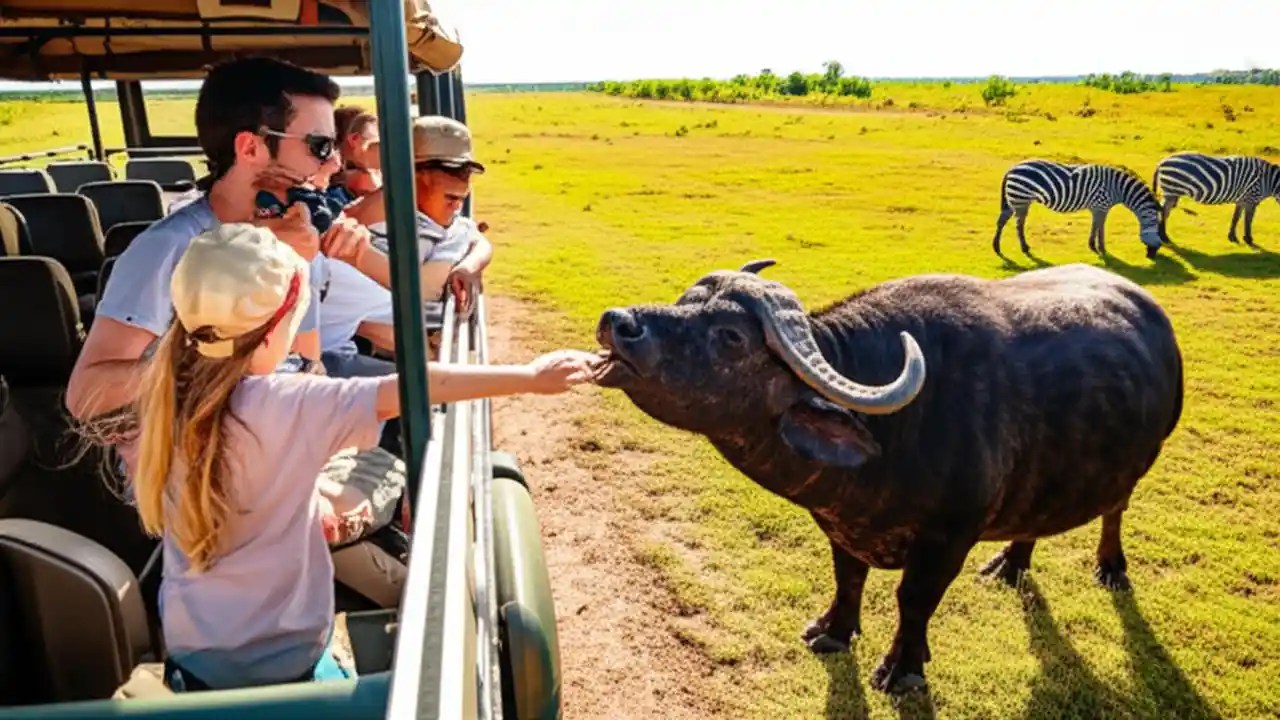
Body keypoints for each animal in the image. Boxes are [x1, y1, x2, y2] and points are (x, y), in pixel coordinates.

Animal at [594, 260, 1183, 694]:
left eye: (732, 336)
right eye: (684, 301)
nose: (619, 323)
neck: (893, 432)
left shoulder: (948, 540)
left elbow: (913, 600)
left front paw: (902, 668)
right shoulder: (840, 524)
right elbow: (848, 579)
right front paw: (833, 632)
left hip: (1138, 462)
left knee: (1115, 510)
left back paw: (1110, 567)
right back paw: (1011, 565)